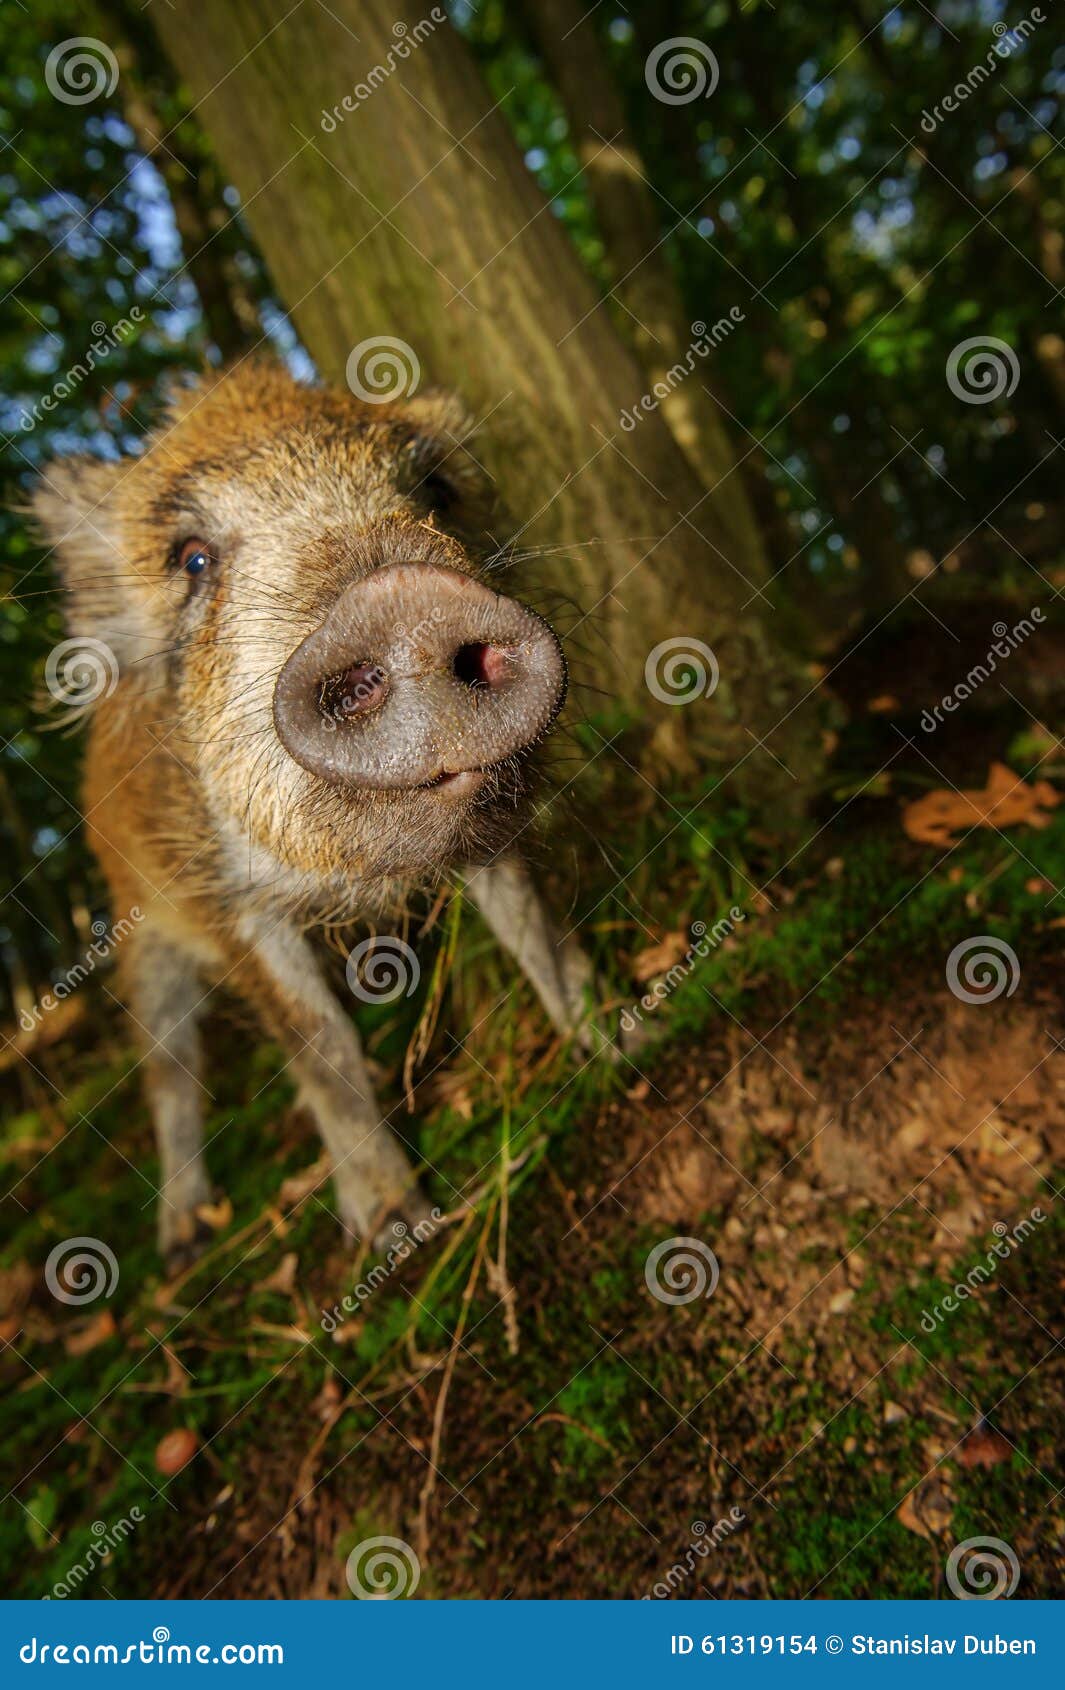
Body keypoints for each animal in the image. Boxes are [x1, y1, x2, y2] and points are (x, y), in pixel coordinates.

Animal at [33, 360, 603, 1271]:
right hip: (137, 934)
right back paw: (185, 1245)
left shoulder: (490, 824)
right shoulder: (224, 902)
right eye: (192, 559)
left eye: (435, 490)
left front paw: (618, 1045)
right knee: (168, 1065)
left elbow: (530, 927)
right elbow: (318, 1038)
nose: (403, 595)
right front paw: (396, 1233)